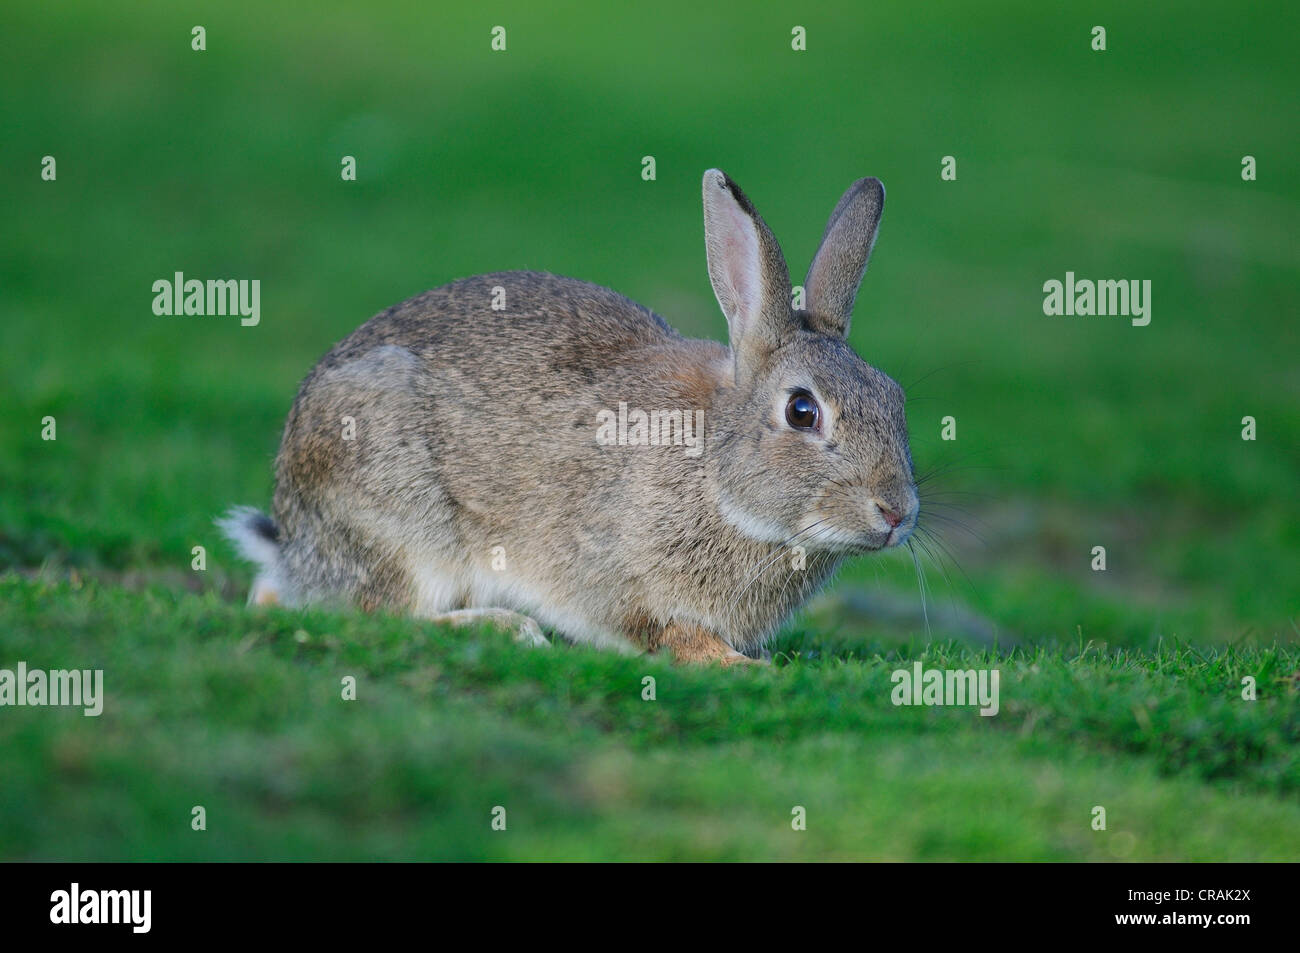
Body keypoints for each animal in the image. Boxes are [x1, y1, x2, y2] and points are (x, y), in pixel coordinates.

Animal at [221, 169, 917, 665]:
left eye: (896, 397)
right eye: (802, 411)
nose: (896, 512)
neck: (716, 472)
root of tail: (294, 537)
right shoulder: (619, 578)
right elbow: (666, 633)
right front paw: (741, 666)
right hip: (400, 520)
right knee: (382, 609)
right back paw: (506, 628)